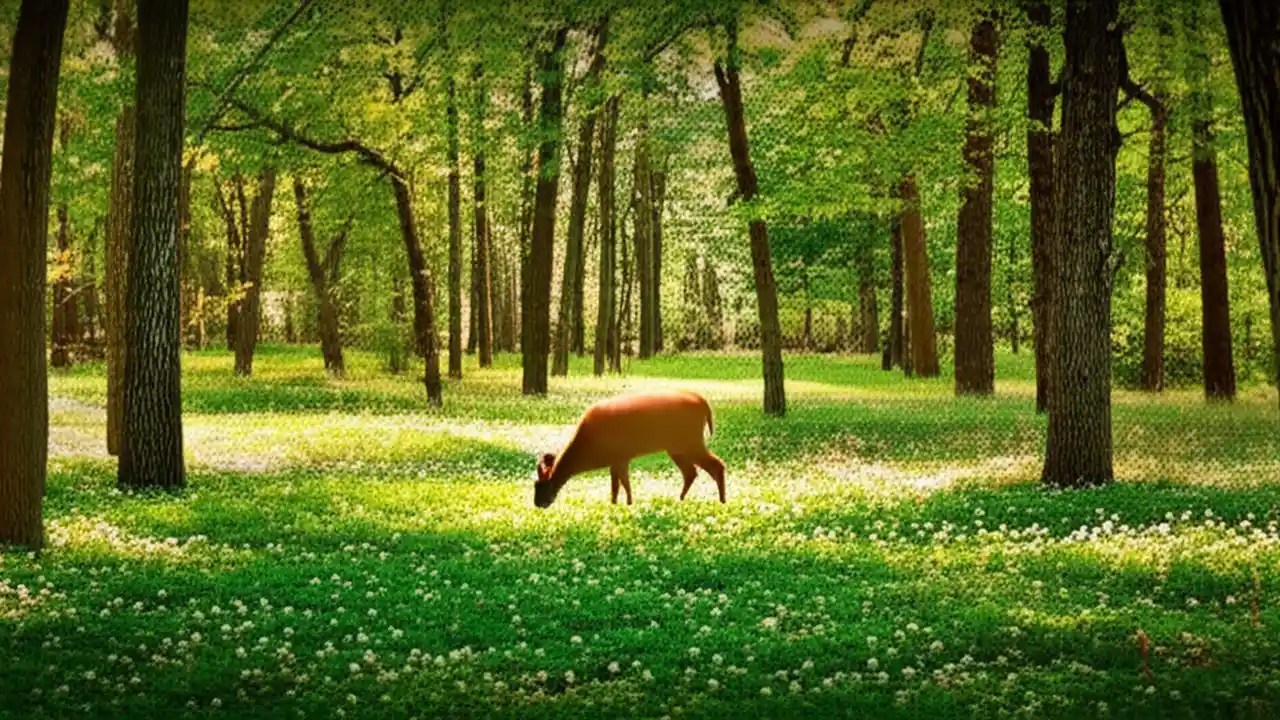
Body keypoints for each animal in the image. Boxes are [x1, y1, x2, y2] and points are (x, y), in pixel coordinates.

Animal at [533, 390, 726, 508]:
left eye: (541, 485)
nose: (538, 504)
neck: (590, 447)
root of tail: (703, 402)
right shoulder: (617, 459)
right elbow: (616, 485)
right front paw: (616, 503)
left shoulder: (620, 456)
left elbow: (623, 483)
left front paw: (628, 503)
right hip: (677, 448)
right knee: (691, 472)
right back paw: (681, 498)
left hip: (691, 441)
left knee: (717, 465)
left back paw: (722, 500)